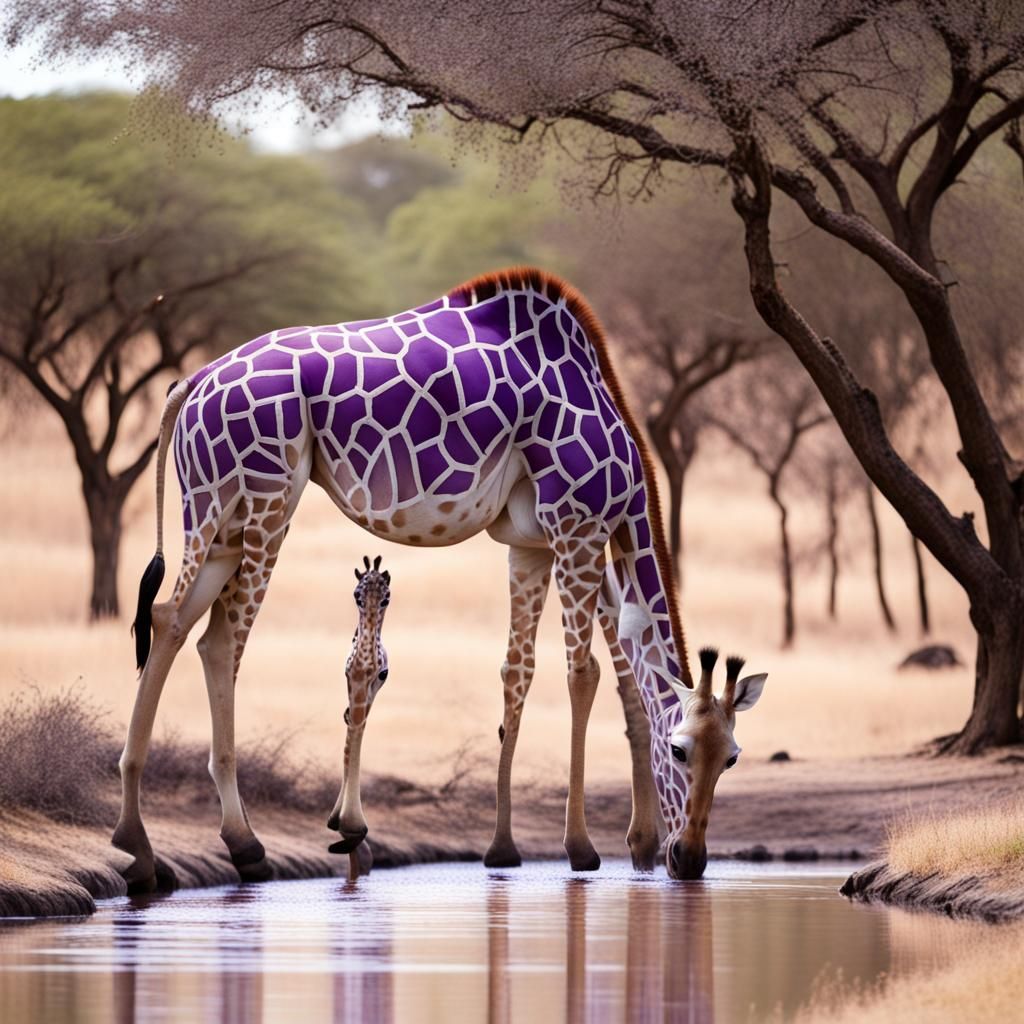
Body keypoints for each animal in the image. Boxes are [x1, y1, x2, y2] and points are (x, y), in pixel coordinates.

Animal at [118, 266, 767, 890]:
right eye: (681, 752)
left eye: (733, 758)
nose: (689, 859)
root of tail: (192, 382)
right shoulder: (577, 527)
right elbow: (584, 675)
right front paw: (582, 849)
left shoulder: (533, 547)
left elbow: (534, 675)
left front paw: (539, 847)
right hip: (264, 497)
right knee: (220, 637)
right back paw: (232, 842)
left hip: (217, 512)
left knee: (173, 622)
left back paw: (145, 847)